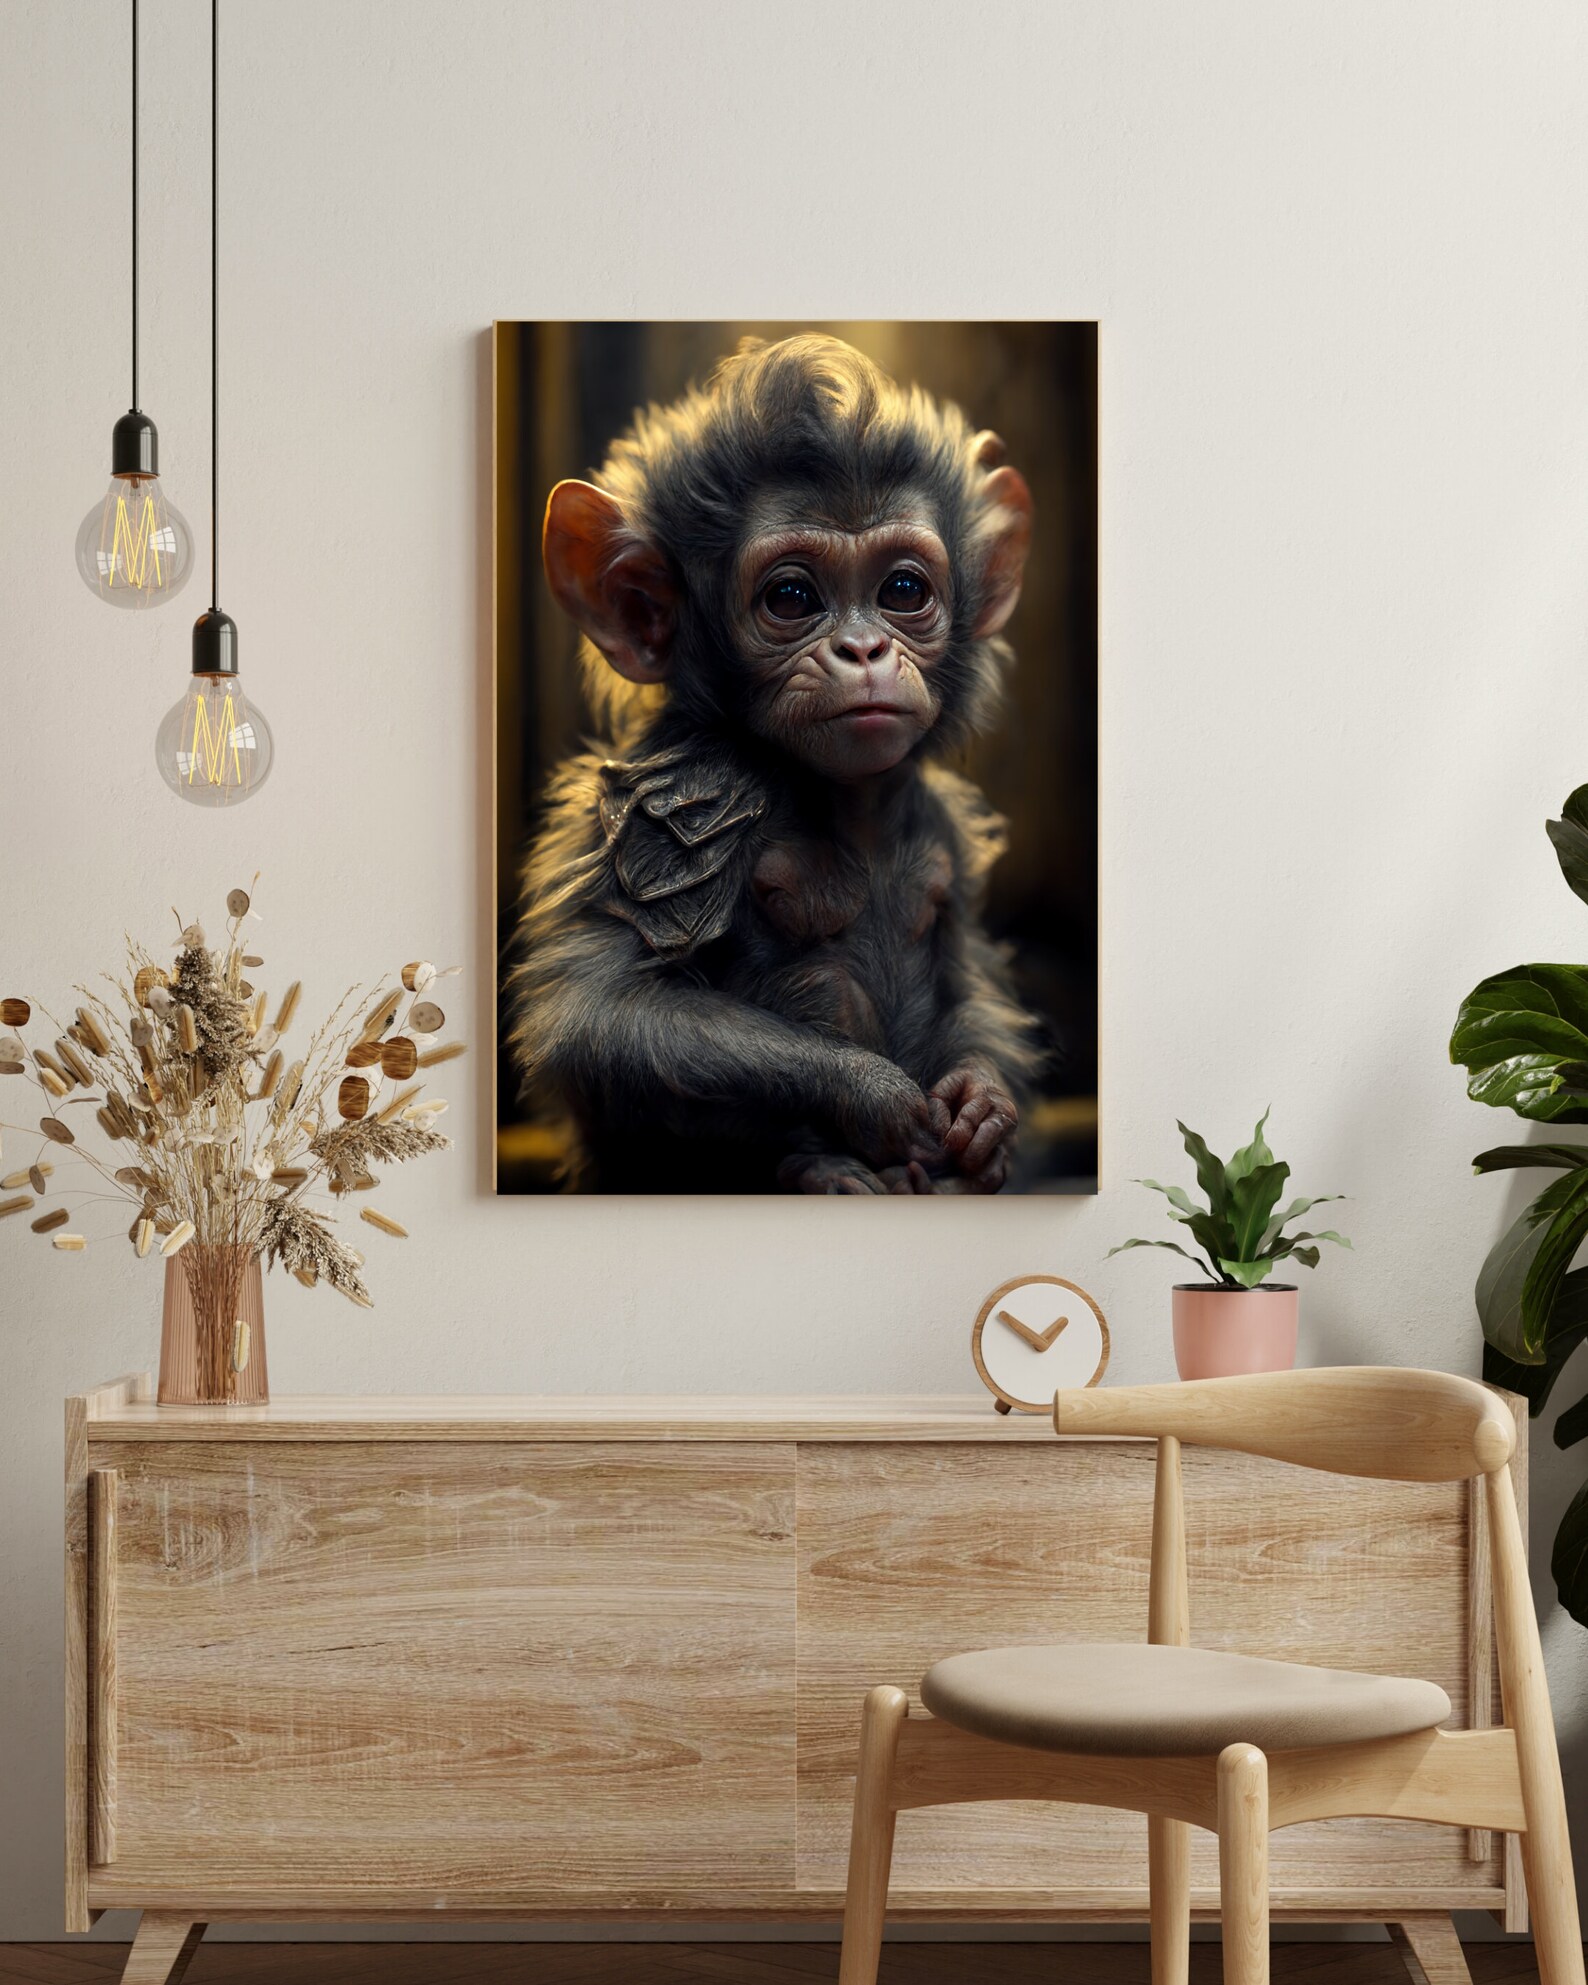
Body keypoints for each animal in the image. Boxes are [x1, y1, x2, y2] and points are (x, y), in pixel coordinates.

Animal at [507, 334, 1046, 1194]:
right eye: (792, 598)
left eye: (902, 589)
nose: (862, 648)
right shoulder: (685, 799)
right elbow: (598, 1013)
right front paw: (875, 1096)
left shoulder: (950, 836)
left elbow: (970, 972)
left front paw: (984, 1105)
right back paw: (821, 1169)